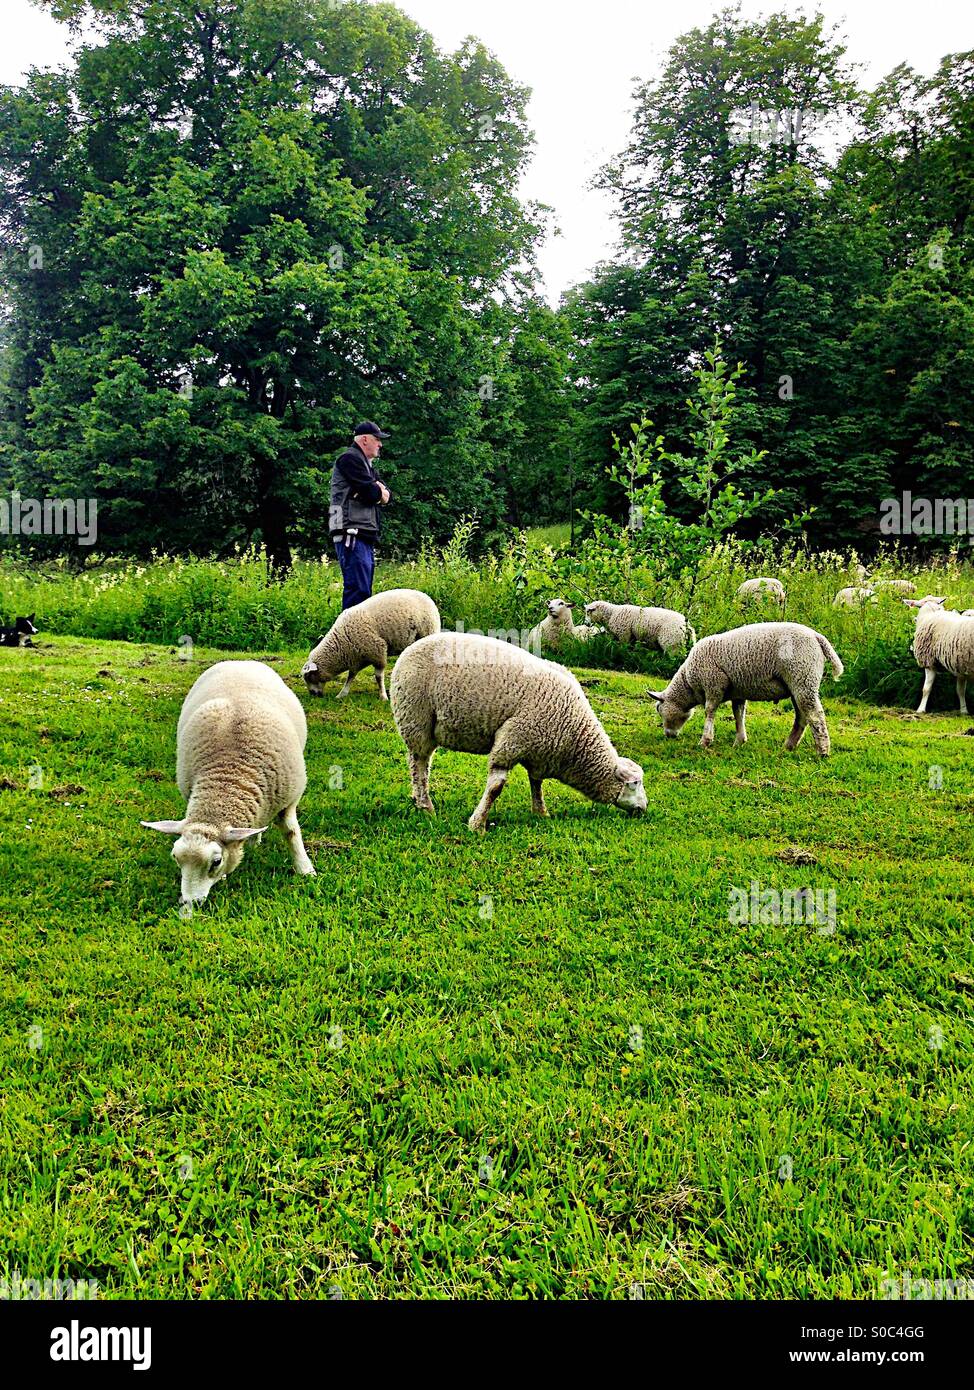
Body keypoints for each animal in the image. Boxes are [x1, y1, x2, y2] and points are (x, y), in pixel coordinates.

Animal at [142, 660, 315, 907]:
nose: (190, 903)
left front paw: (305, 870)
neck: (226, 780)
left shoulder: (288, 801)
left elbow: (292, 833)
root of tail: (239, 661)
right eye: (175, 857)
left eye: (216, 861)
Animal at [301, 588, 440, 701]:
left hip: (428, 632)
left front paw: (383, 696)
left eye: (309, 676)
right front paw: (342, 693)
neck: (340, 644)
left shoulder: (378, 652)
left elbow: (378, 677)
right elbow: (350, 676)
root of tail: (426, 597)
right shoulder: (357, 658)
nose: (312, 695)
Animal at [389, 631, 647, 831]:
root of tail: (409, 649)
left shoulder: (541, 750)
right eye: (634, 783)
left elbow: (536, 782)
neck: (575, 736)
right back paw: (425, 806)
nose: (644, 808)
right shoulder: (512, 740)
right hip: (415, 718)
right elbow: (496, 787)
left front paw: (541, 812)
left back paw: (417, 798)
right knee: (419, 764)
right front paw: (477, 824)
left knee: (420, 764)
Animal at [648, 622, 844, 756]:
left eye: (660, 710)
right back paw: (789, 745)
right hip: (798, 685)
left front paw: (705, 741)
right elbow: (738, 714)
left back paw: (823, 751)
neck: (689, 683)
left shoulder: (713, 685)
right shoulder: (738, 692)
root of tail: (817, 637)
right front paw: (740, 741)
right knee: (802, 716)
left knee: (815, 715)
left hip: (803, 678)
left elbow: (710, 712)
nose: (668, 735)